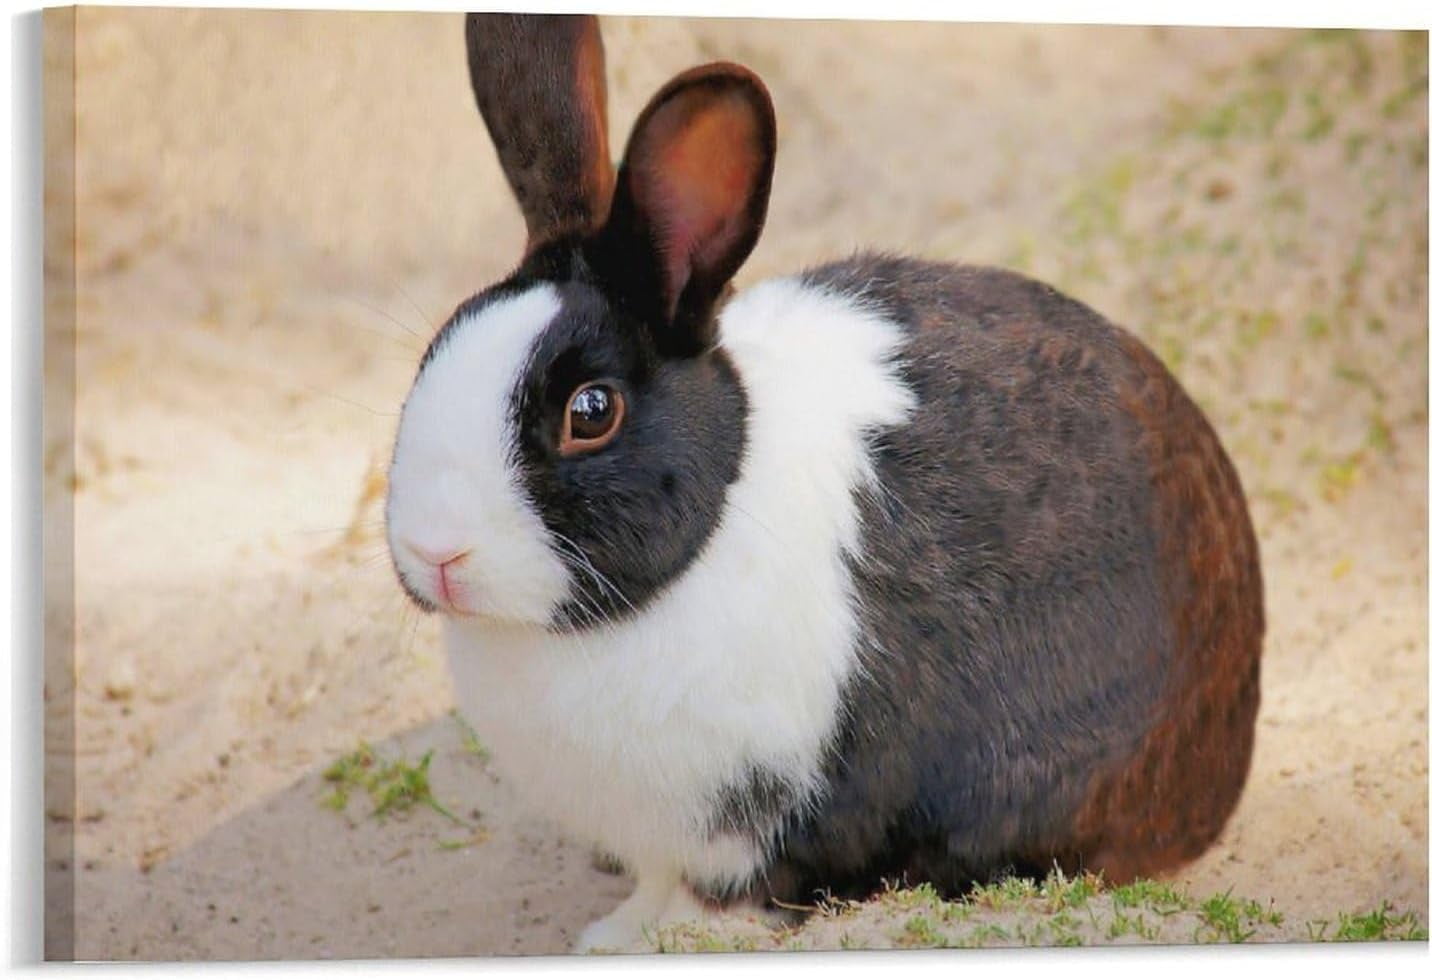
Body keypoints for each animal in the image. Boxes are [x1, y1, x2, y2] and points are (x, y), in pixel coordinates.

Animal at [383, 12, 1264, 953]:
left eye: (591, 412)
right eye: (435, 349)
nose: (436, 553)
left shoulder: (760, 819)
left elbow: (725, 893)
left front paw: (651, 941)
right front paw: (615, 934)